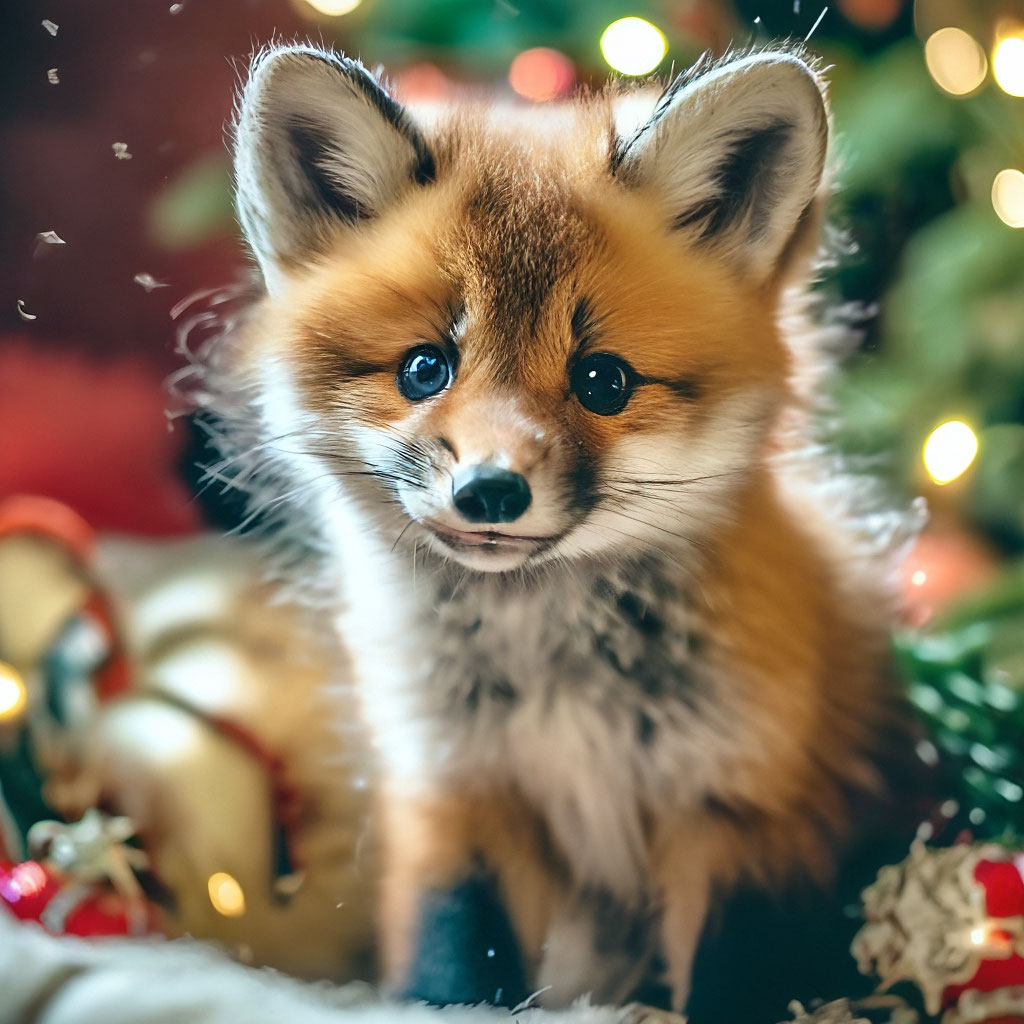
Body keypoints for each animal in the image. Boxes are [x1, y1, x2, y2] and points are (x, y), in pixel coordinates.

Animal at [218, 41, 911, 1019]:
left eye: (603, 381)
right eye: (424, 368)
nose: (490, 491)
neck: (555, 670)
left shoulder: (742, 807)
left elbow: (728, 982)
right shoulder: (455, 792)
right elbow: (456, 967)